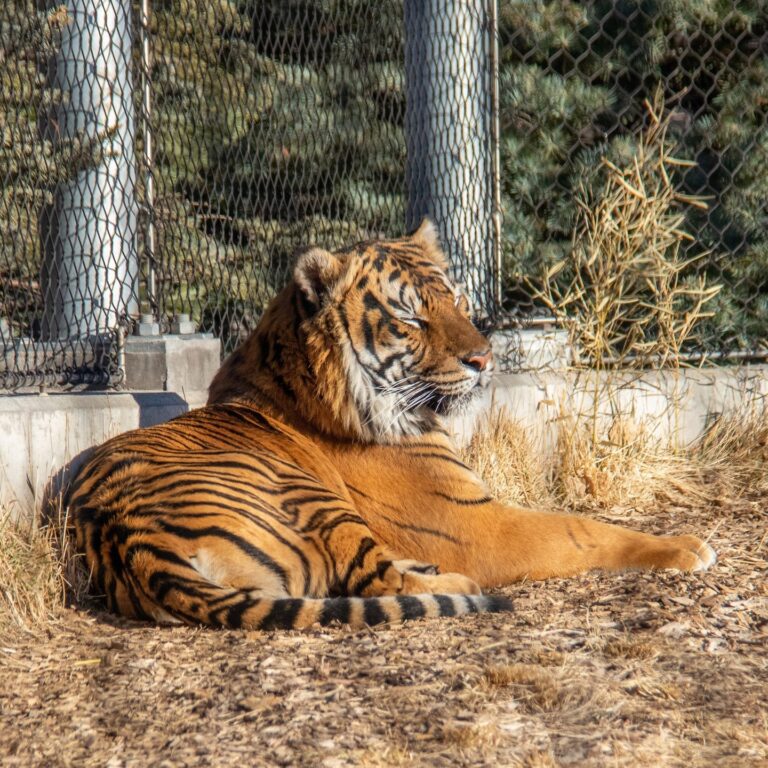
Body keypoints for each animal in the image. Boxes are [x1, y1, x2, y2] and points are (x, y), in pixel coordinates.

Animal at [67, 220, 716, 631]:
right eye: (411, 318)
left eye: (455, 300)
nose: (485, 360)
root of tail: (133, 543)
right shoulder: (477, 525)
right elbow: (584, 530)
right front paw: (687, 546)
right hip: (313, 500)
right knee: (380, 584)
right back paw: (458, 586)